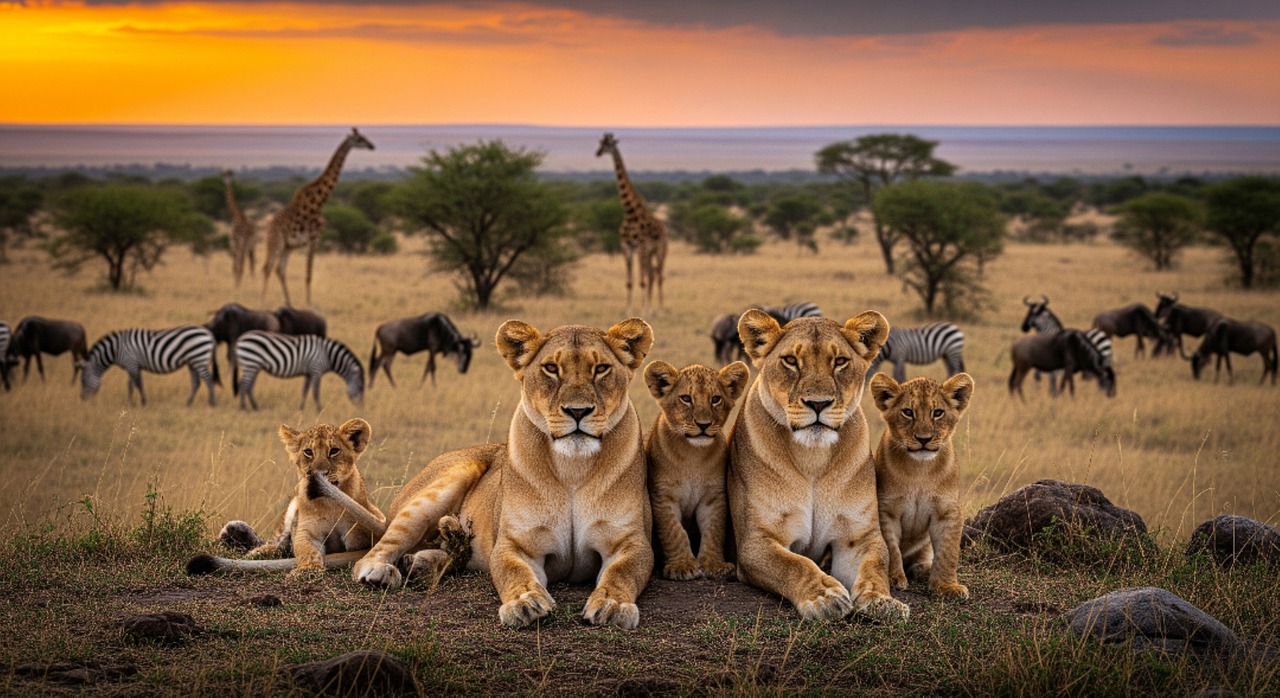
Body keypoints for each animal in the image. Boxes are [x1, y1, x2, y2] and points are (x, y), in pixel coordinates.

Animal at [186, 418, 384, 576]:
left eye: (334, 451)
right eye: (308, 452)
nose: (317, 473)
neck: (328, 502)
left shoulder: (362, 533)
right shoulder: (306, 531)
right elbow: (306, 550)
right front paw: (307, 570)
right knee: (277, 543)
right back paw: (257, 551)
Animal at [348, 318, 656, 629]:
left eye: (601, 368)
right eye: (551, 368)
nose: (578, 411)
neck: (573, 468)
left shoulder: (631, 541)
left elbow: (622, 572)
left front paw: (613, 605)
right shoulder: (513, 543)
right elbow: (514, 572)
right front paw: (524, 603)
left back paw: (425, 561)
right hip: (445, 483)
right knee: (380, 548)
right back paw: (380, 570)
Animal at [643, 360, 750, 580]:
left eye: (715, 399)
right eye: (686, 399)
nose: (703, 425)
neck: (693, 456)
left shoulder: (714, 497)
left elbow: (714, 531)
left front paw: (713, 565)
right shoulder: (663, 496)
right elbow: (673, 532)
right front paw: (682, 566)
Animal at [728, 309, 909, 622]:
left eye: (840, 361)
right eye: (791, 361)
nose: (818, 404)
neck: (812, 458)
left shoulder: (858, 538)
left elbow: (875, 567)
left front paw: (882, 601)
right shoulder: (756, 541)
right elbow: (793, 564)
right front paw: (824, 596)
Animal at [869, 373, 974, 600]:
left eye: (938, 413)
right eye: (908, 412)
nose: (924, 439)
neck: (920, 471)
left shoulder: (947, 511)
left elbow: (947, 551)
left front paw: (946, 586)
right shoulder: (886, 510)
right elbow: (891, 547)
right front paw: (894, 578)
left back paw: (923, 569)